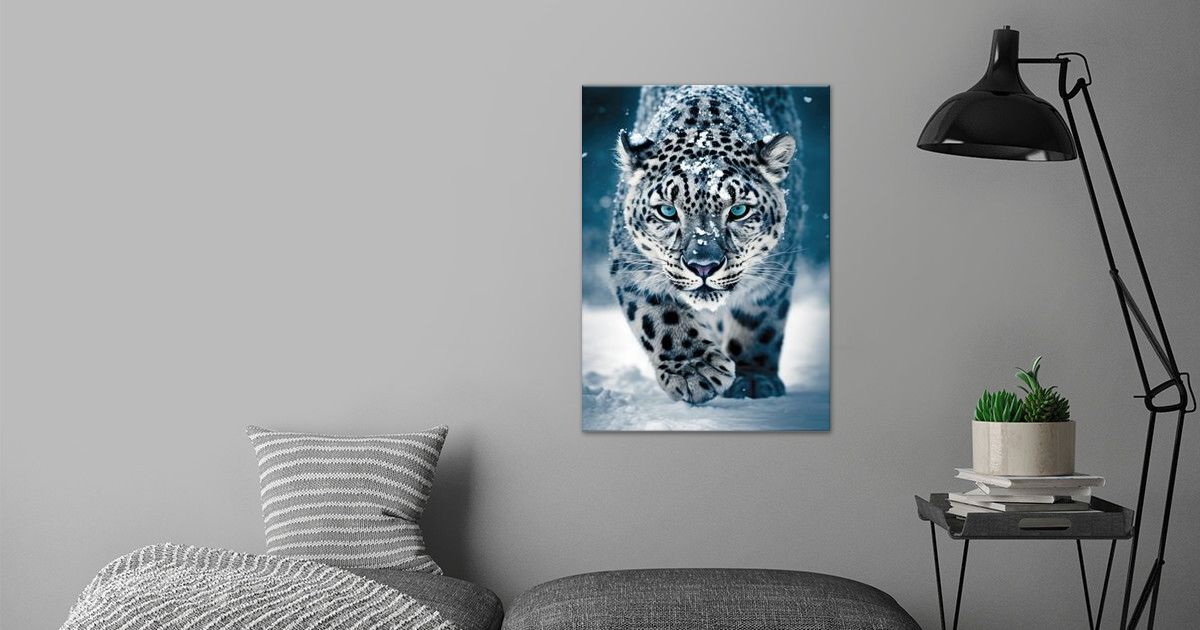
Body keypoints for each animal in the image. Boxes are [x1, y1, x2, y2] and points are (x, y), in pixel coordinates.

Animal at [609, 85, 805, 405]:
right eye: (667, 210)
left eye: (738, 210)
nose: (703, 266)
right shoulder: (630, 267)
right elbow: (661, 316)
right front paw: (694, 371)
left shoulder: (774, 276)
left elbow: (758, 323)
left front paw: (754, 379)